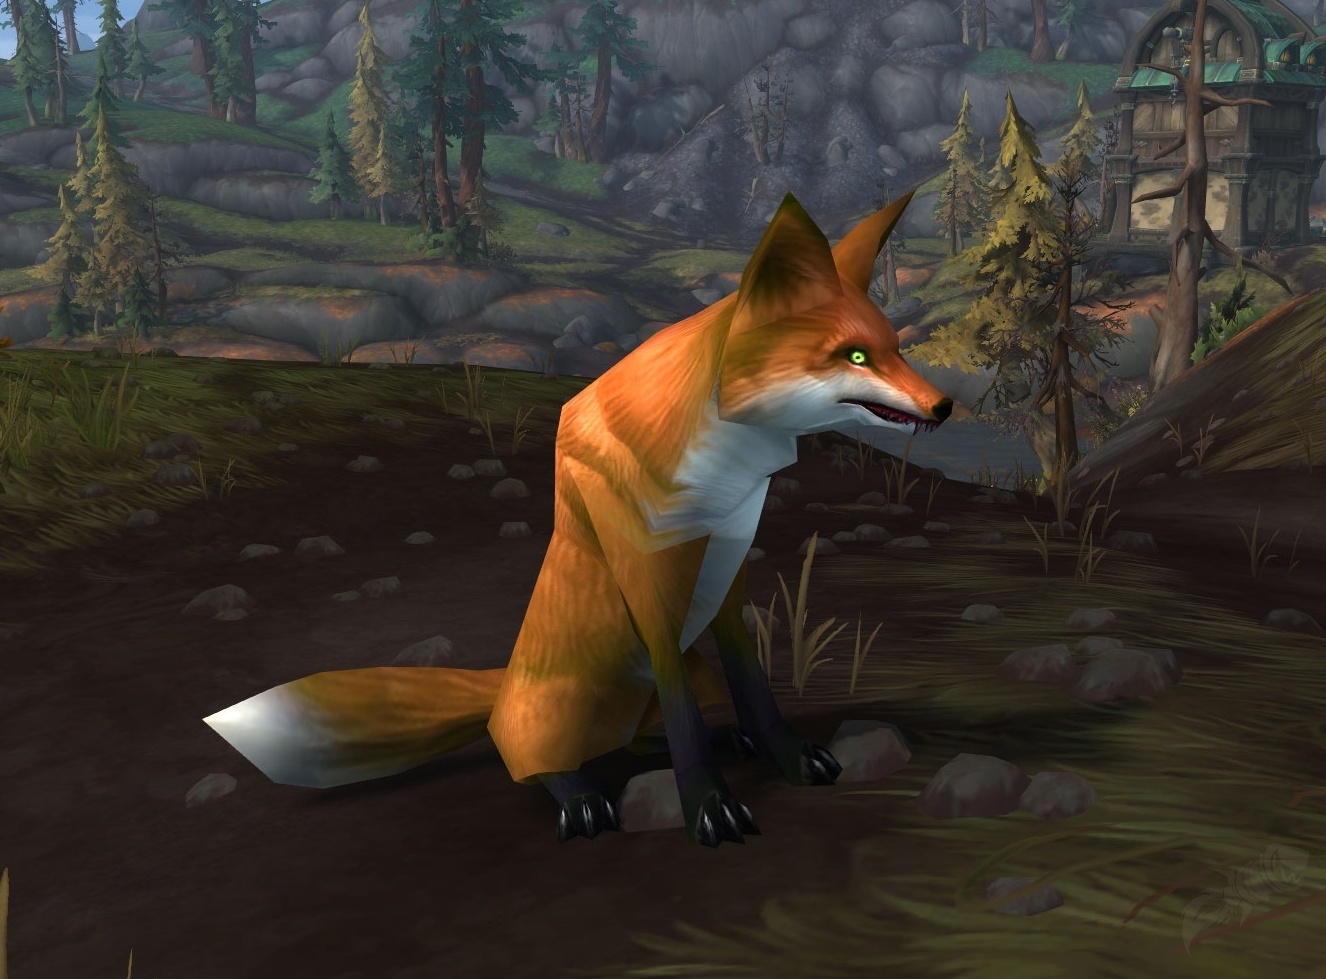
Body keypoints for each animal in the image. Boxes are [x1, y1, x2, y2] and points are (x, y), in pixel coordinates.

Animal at [203, 190, 953, 848]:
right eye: (854, 355)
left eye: (896, 346)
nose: (945, 406)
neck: (725, 465)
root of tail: (502, 687)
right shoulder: (647, 586)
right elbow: (681, 724)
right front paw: (708, 807)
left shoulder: (729, 571)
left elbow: (752, 689)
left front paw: (788, 757)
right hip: (567, 706)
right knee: (536, 761)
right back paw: (583, 797)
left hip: (668, 673)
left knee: (639, 734)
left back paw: (721, 740)